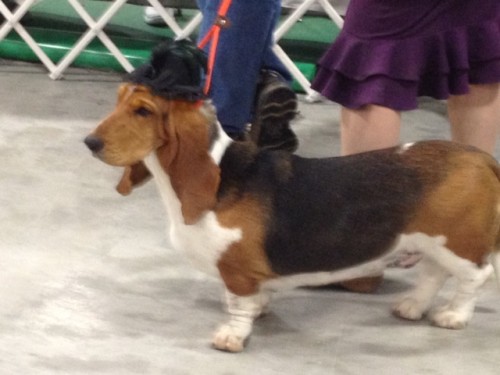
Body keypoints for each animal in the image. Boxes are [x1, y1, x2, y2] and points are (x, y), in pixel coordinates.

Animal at [85, 40, 500, 352]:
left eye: (142, 110)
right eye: (119, 99)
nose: (90, 143)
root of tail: (481, 158)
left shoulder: (237, 271)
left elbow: (237, 304)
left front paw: (232, 336)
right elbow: (252, 299)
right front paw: (259, 311)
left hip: (459, 243)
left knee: (477, 277)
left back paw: (453, 316)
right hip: (434, 241)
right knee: (433, 272)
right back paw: (412, 306)